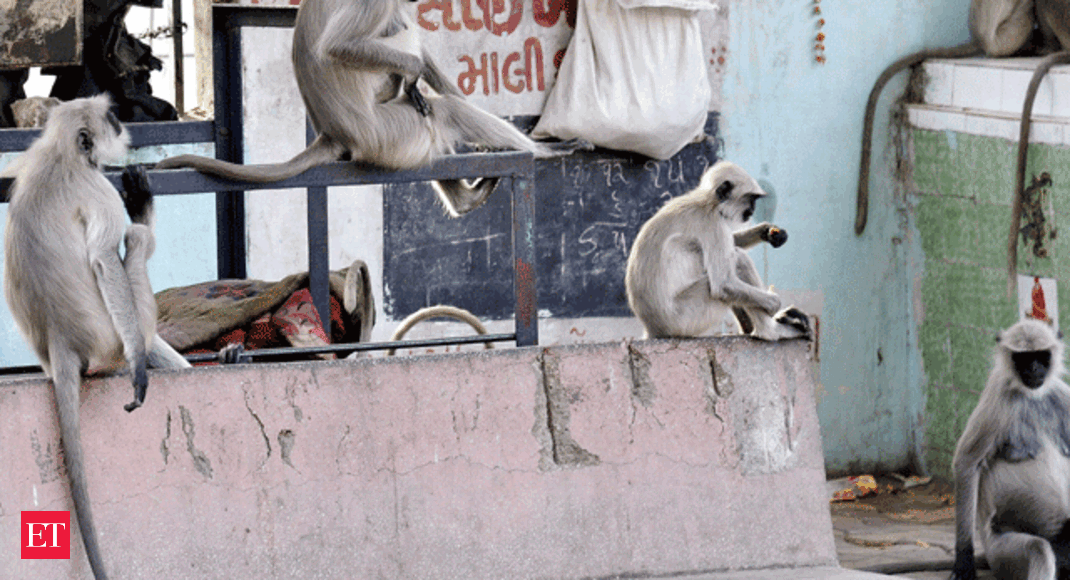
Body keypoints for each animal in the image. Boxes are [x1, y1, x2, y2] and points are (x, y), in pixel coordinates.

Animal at [3, 95, 191, 580]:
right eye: (108, 118)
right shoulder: (96, 189)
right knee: (136, 249)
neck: (60, 156)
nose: (121, 120)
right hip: (112, 339)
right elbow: (107, 259)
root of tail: (59, 342)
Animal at [155, 0, 588, 217]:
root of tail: (334, 133)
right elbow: (339, 46)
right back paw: (544, 151)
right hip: (388, 132)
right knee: (442, 108)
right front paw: (413, 73)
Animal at [624, 161, 811, 341]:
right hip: (687, 316)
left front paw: (767, 231)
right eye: (751, 199)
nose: (752, 210)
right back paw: (771, 331)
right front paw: (774, 303)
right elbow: (723, 285)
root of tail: (653, 328)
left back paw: (751, 328)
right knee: (737, 259)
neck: (707, 202)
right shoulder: (711, 222)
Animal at [950, 318, 1070, 580]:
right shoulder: (997, 396)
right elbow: (967, 462)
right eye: (1024, 358)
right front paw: (963, 559)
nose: (1034, 369)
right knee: (1038, 549)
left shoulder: (1062, 395)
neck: (1032, 395)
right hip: (1000, 552)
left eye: (1041, 355)